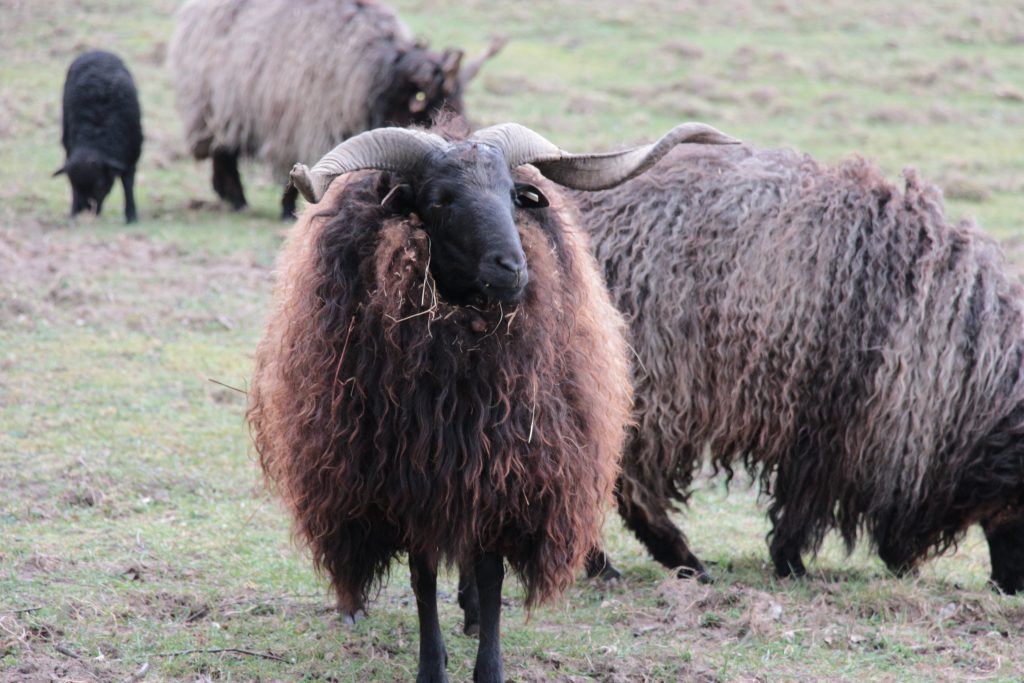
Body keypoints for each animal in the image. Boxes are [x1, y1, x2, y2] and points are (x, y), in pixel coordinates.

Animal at [55, 50, 142, 224]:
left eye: (100, 185)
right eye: (72, 184)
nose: (86, 210)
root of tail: (96, 51)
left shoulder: (130, 157)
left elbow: (128, 184)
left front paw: (131, 216)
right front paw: (73, 213)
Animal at [167, 0, 503, 219]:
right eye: (432, 109)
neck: (379, 78)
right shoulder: (302, 126)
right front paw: (289, 211)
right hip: (213, 105)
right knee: (223, 153)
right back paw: (237, 199)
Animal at [247, 120, 737, 681]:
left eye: (511, 194)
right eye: (440, 199)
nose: (512, 267)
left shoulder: (502, 481)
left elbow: (490, 575)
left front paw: (488, 663)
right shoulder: (409, 486)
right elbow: (422, 580)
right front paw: (432, 666)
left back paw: (473, 615)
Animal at [564, 142, 1024, 594]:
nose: (1012, 585)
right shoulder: (830, 420)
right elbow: (806, 498)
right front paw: (792, 562)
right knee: (624, 484)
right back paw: (670, 561)